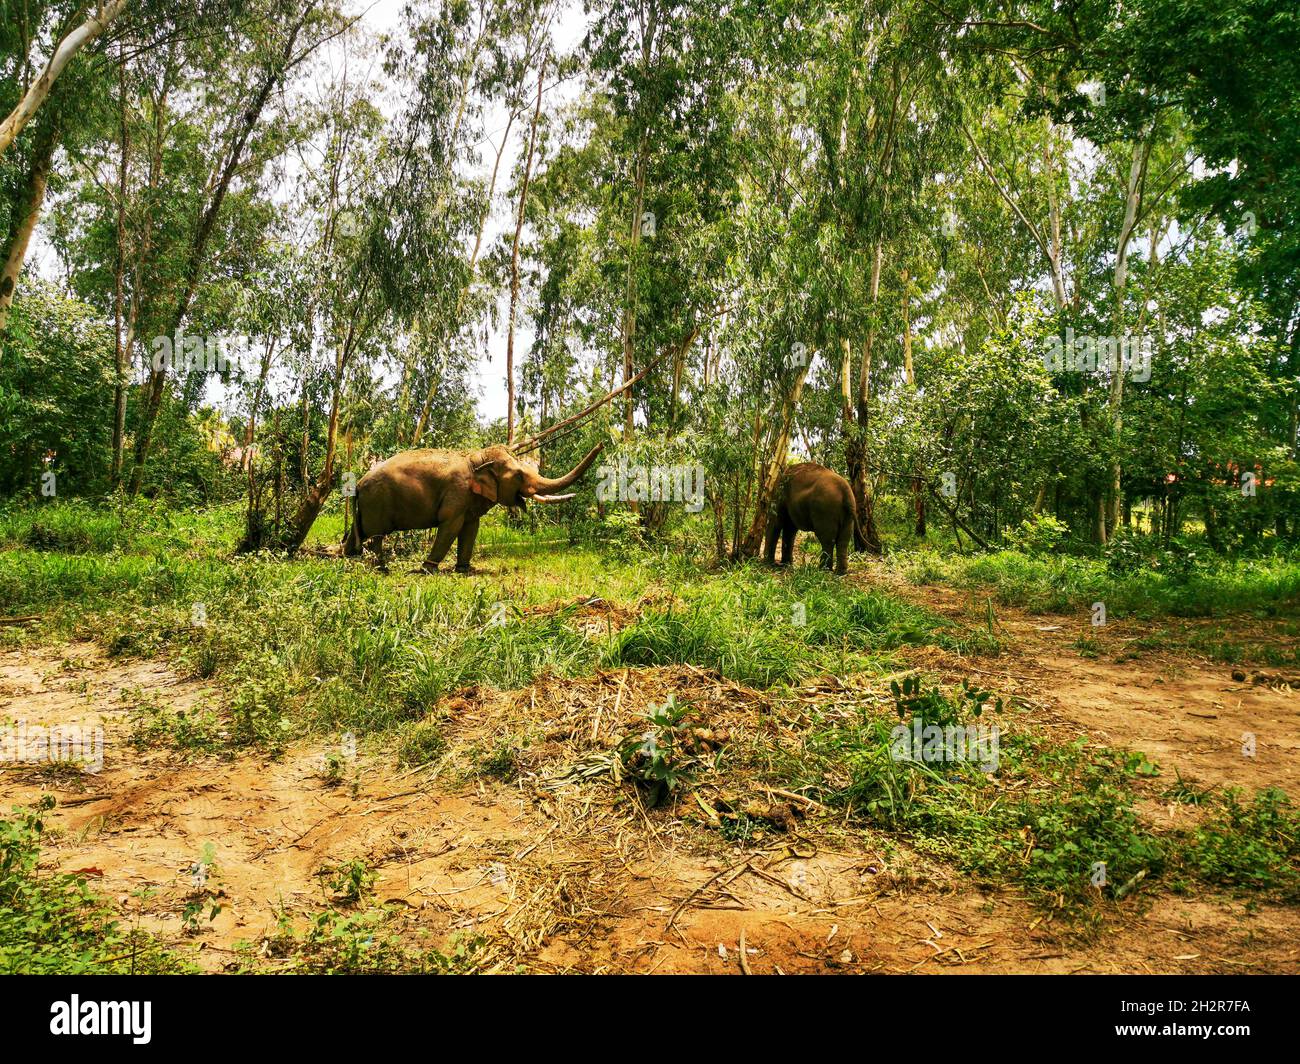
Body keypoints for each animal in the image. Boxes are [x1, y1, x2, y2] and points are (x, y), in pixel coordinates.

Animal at [343, 443, 604, 573]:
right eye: (519, 475)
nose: (601, 444)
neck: (475, 459)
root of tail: (357, 485)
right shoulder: (457, 491)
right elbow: (451, 525)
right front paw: (427, 570)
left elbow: (471, 528)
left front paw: (465, 569)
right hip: (377, 503)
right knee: (376, 536)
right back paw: (381, 568)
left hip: (366, 508)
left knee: (358, 533)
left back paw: (347, 558)